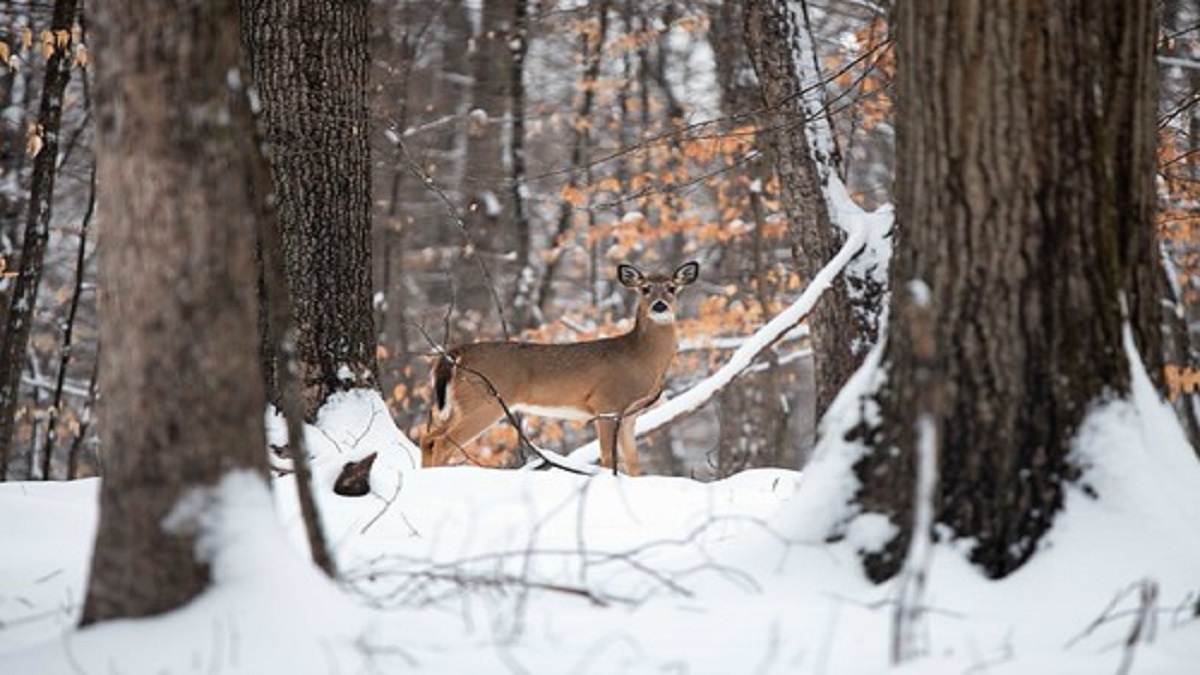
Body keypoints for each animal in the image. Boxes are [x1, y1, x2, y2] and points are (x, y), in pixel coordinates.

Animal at [421, 261, 700, 475]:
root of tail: (457, 353)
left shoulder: (630, 414)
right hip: (483, 401)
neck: (640, 357)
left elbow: (633, 462)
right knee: (442, 442)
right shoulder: (606, 404)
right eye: (645, 289)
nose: (660, 305)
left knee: (428, 438)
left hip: (461, 404)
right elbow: (608, 458)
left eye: (672, 288)